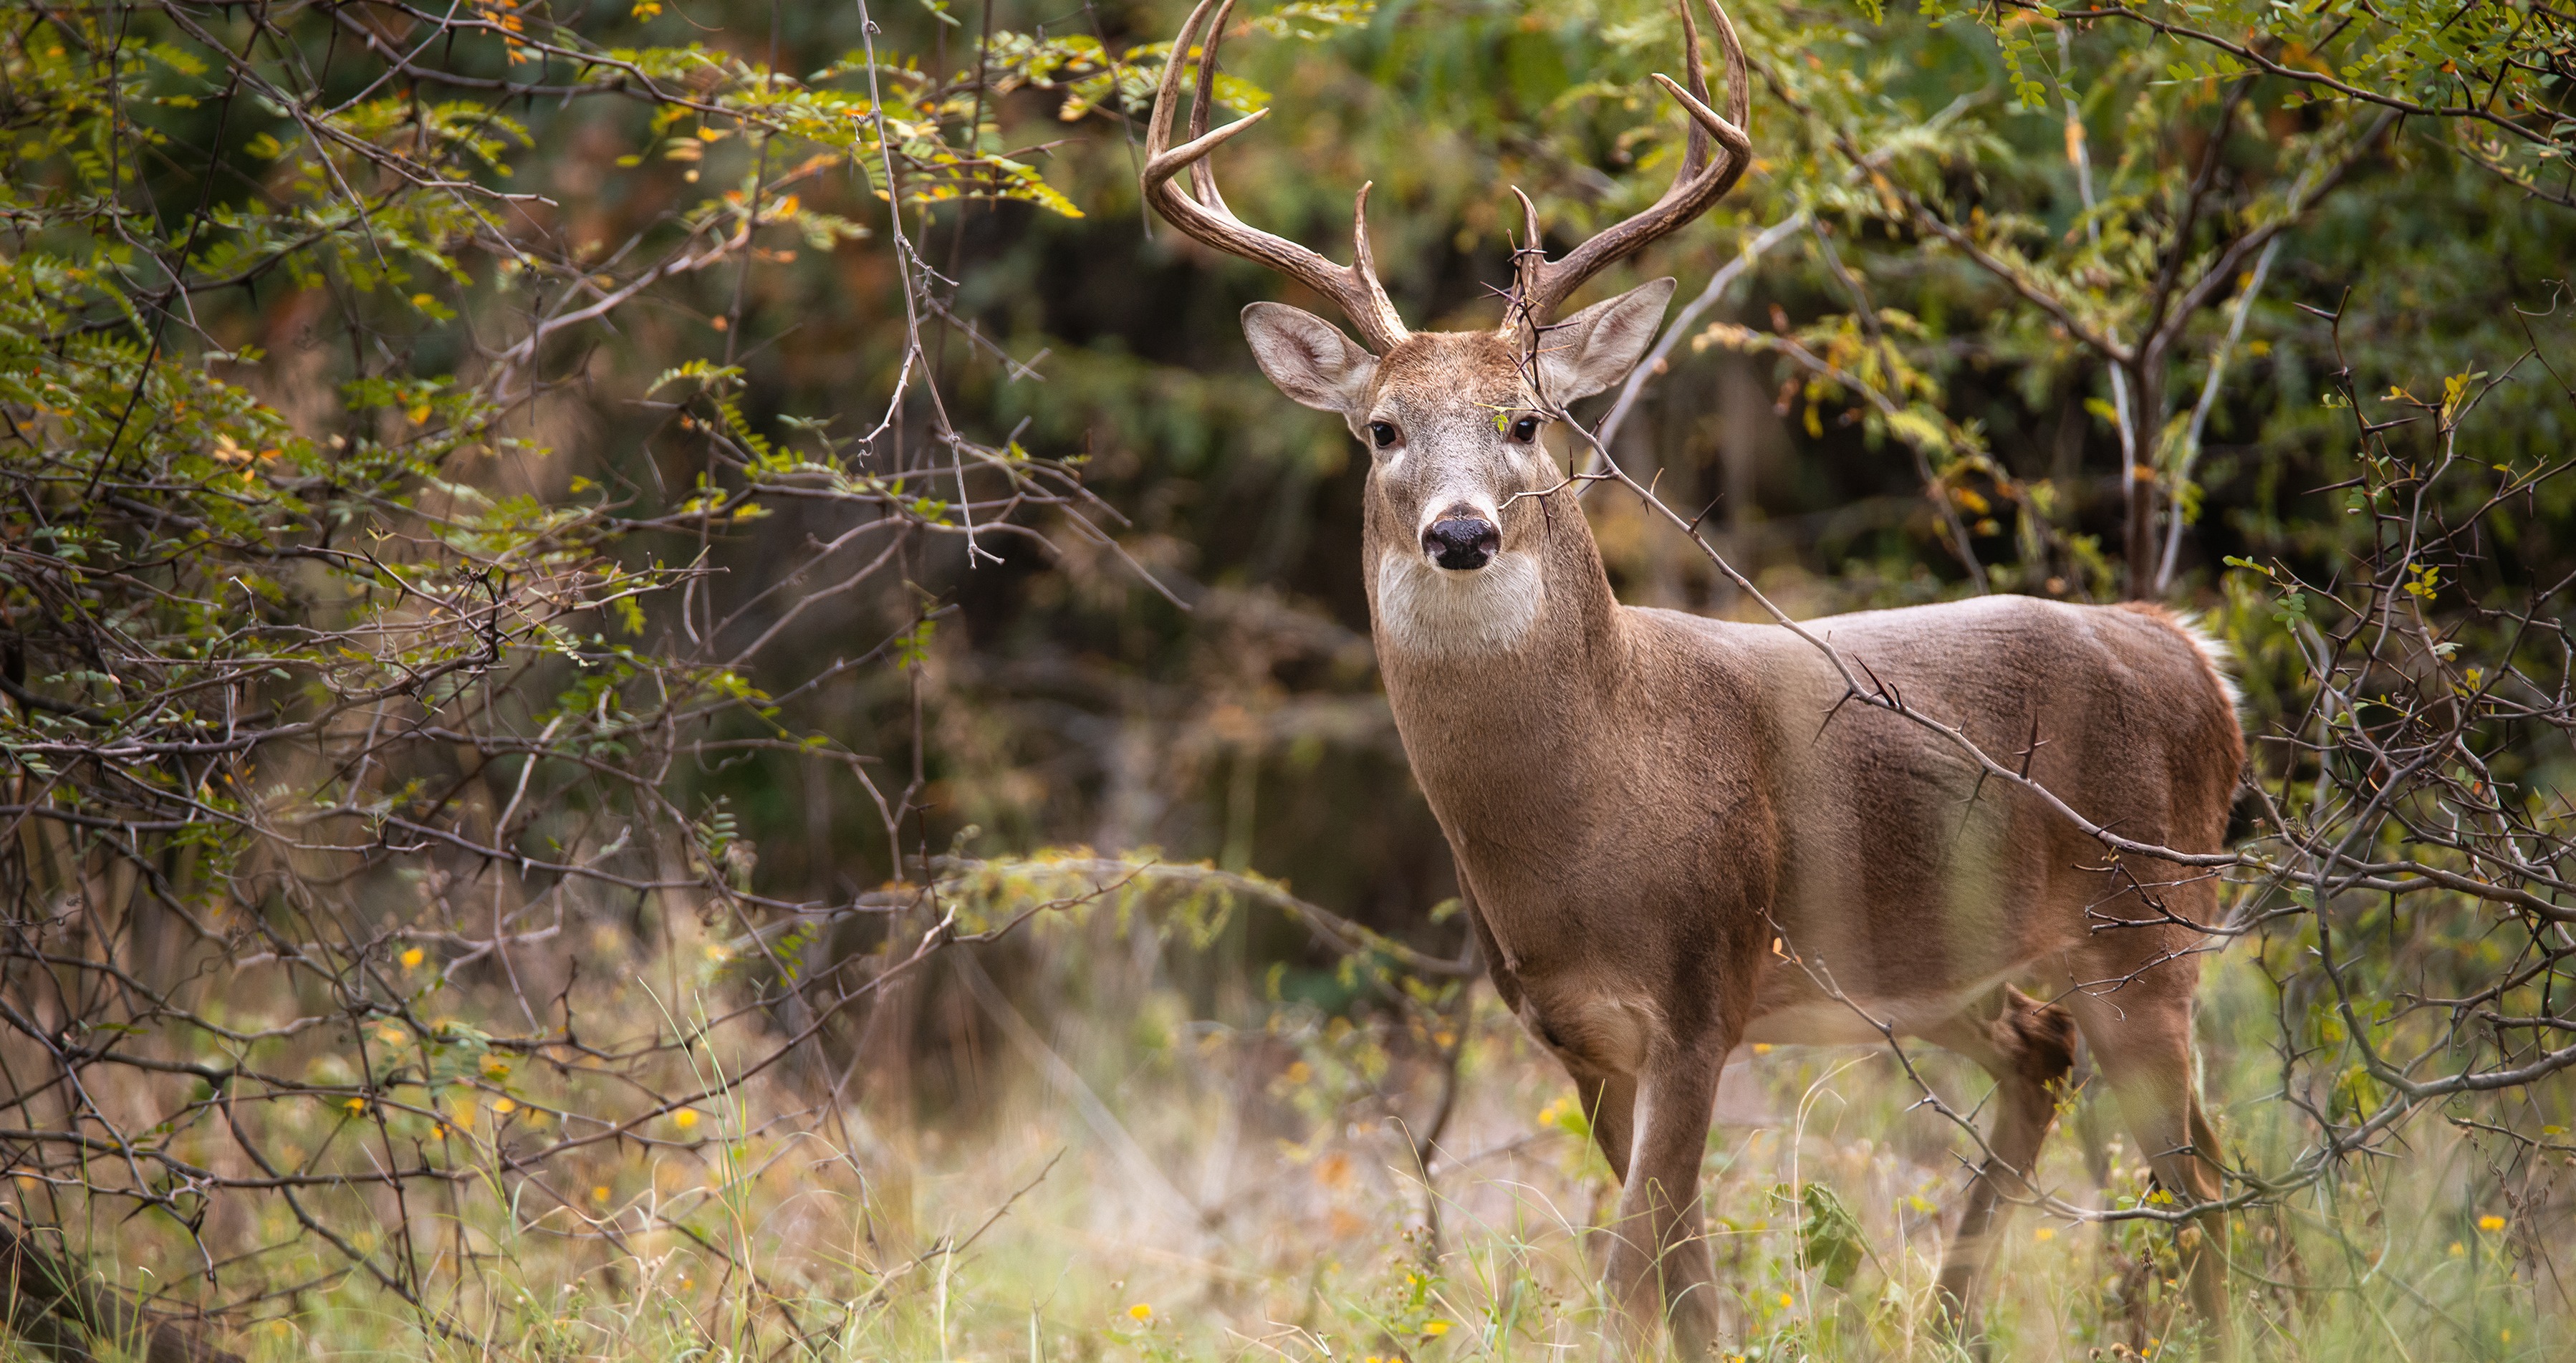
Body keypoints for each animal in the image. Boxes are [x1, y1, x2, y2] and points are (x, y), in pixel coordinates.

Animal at [1142, 0, 2245, 1354]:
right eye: (1382, 429)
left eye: (1526, 420)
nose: (1460, 532)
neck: (1592, 802)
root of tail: (2193, 653)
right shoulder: (1578, 1031)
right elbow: (1686, 1273)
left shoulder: (1702, 986)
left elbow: (1631, 1269)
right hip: (1947, 964)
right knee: (2082, 1077)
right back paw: (1954, 1312)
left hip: (2150, 922)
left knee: (2195, 1179)